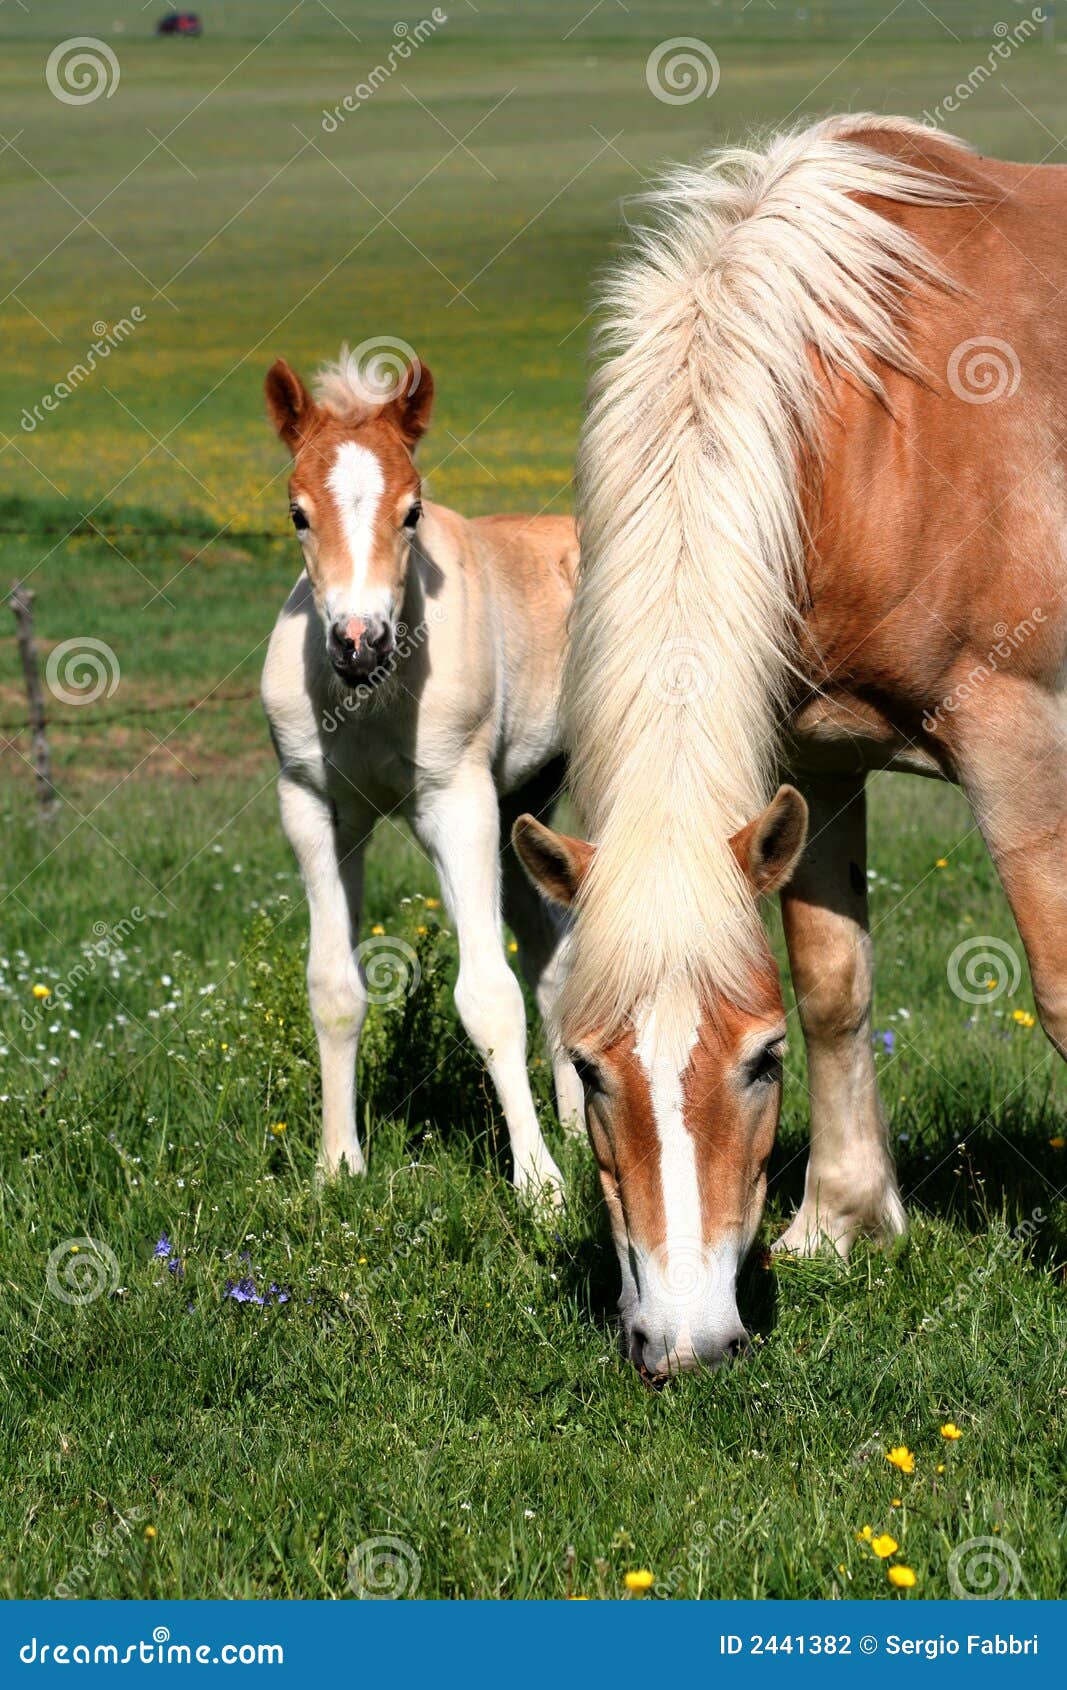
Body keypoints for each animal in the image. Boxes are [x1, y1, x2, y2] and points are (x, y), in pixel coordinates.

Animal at [260, 348, 584, 1203]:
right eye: (297, 513)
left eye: (411, 511)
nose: (358, 642)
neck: (371, 699)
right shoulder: (315, 809)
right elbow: (333, 989)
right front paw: (337, 1166)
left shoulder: (456, 803)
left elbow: (487, 995)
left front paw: (539, 1188)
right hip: (525, 806)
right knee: (555, 959)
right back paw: (580, 1125)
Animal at [513, 114, 1067, 1377]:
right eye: (586, 1069)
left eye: (756, 1063)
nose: (684, 1338)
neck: (881, 424)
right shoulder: (816, 757)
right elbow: (832, 978)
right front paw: (843, 1220)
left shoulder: (1022, 745)